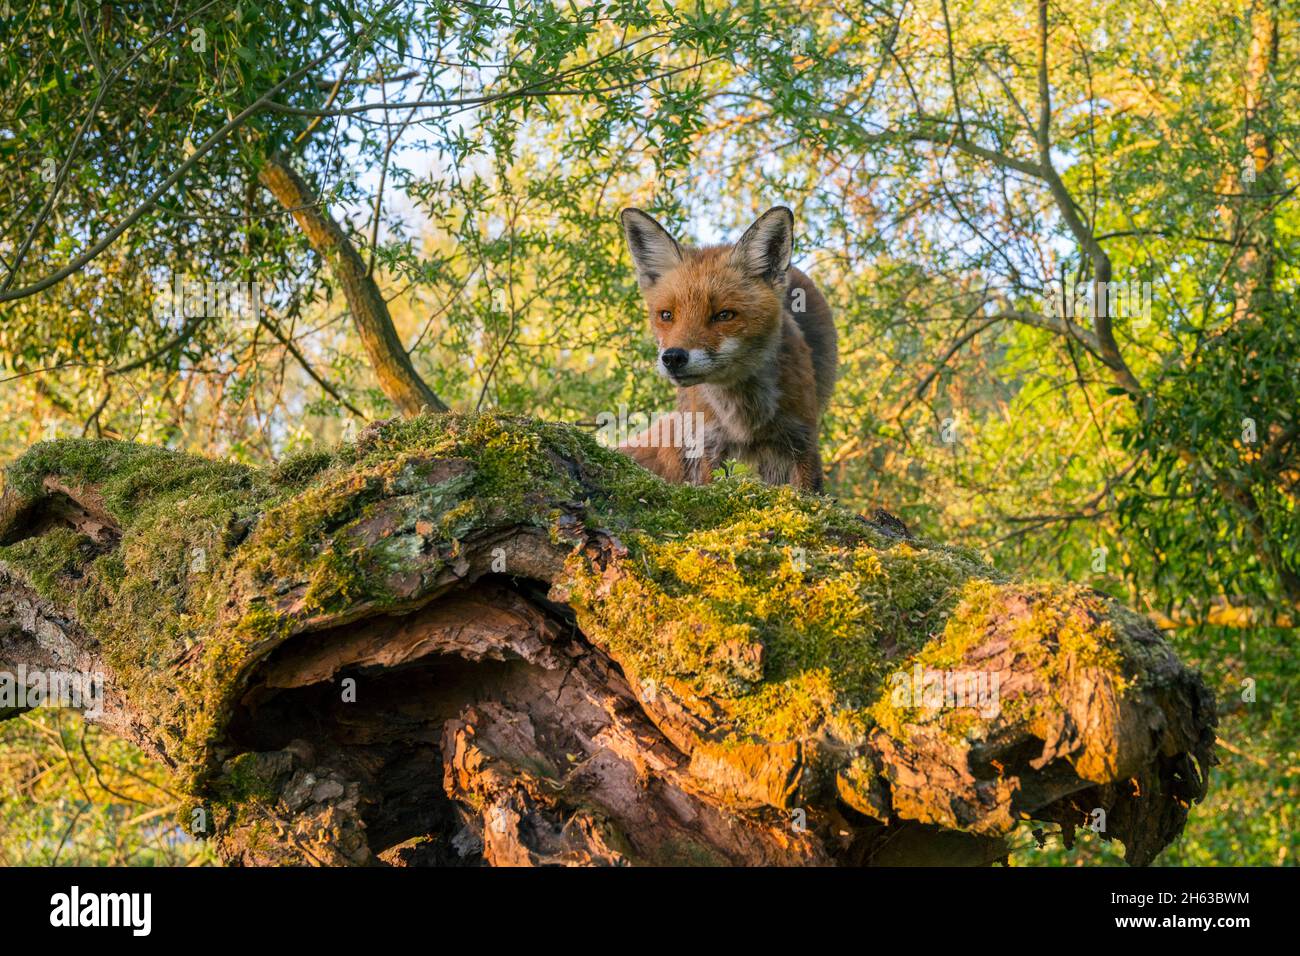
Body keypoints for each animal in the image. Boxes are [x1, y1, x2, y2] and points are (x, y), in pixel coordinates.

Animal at [617, 205, 837, 492]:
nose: (673, 358)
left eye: (724, 315)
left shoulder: (801, 439)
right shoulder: (709, 445)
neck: (744, 418)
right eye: (666, 315)